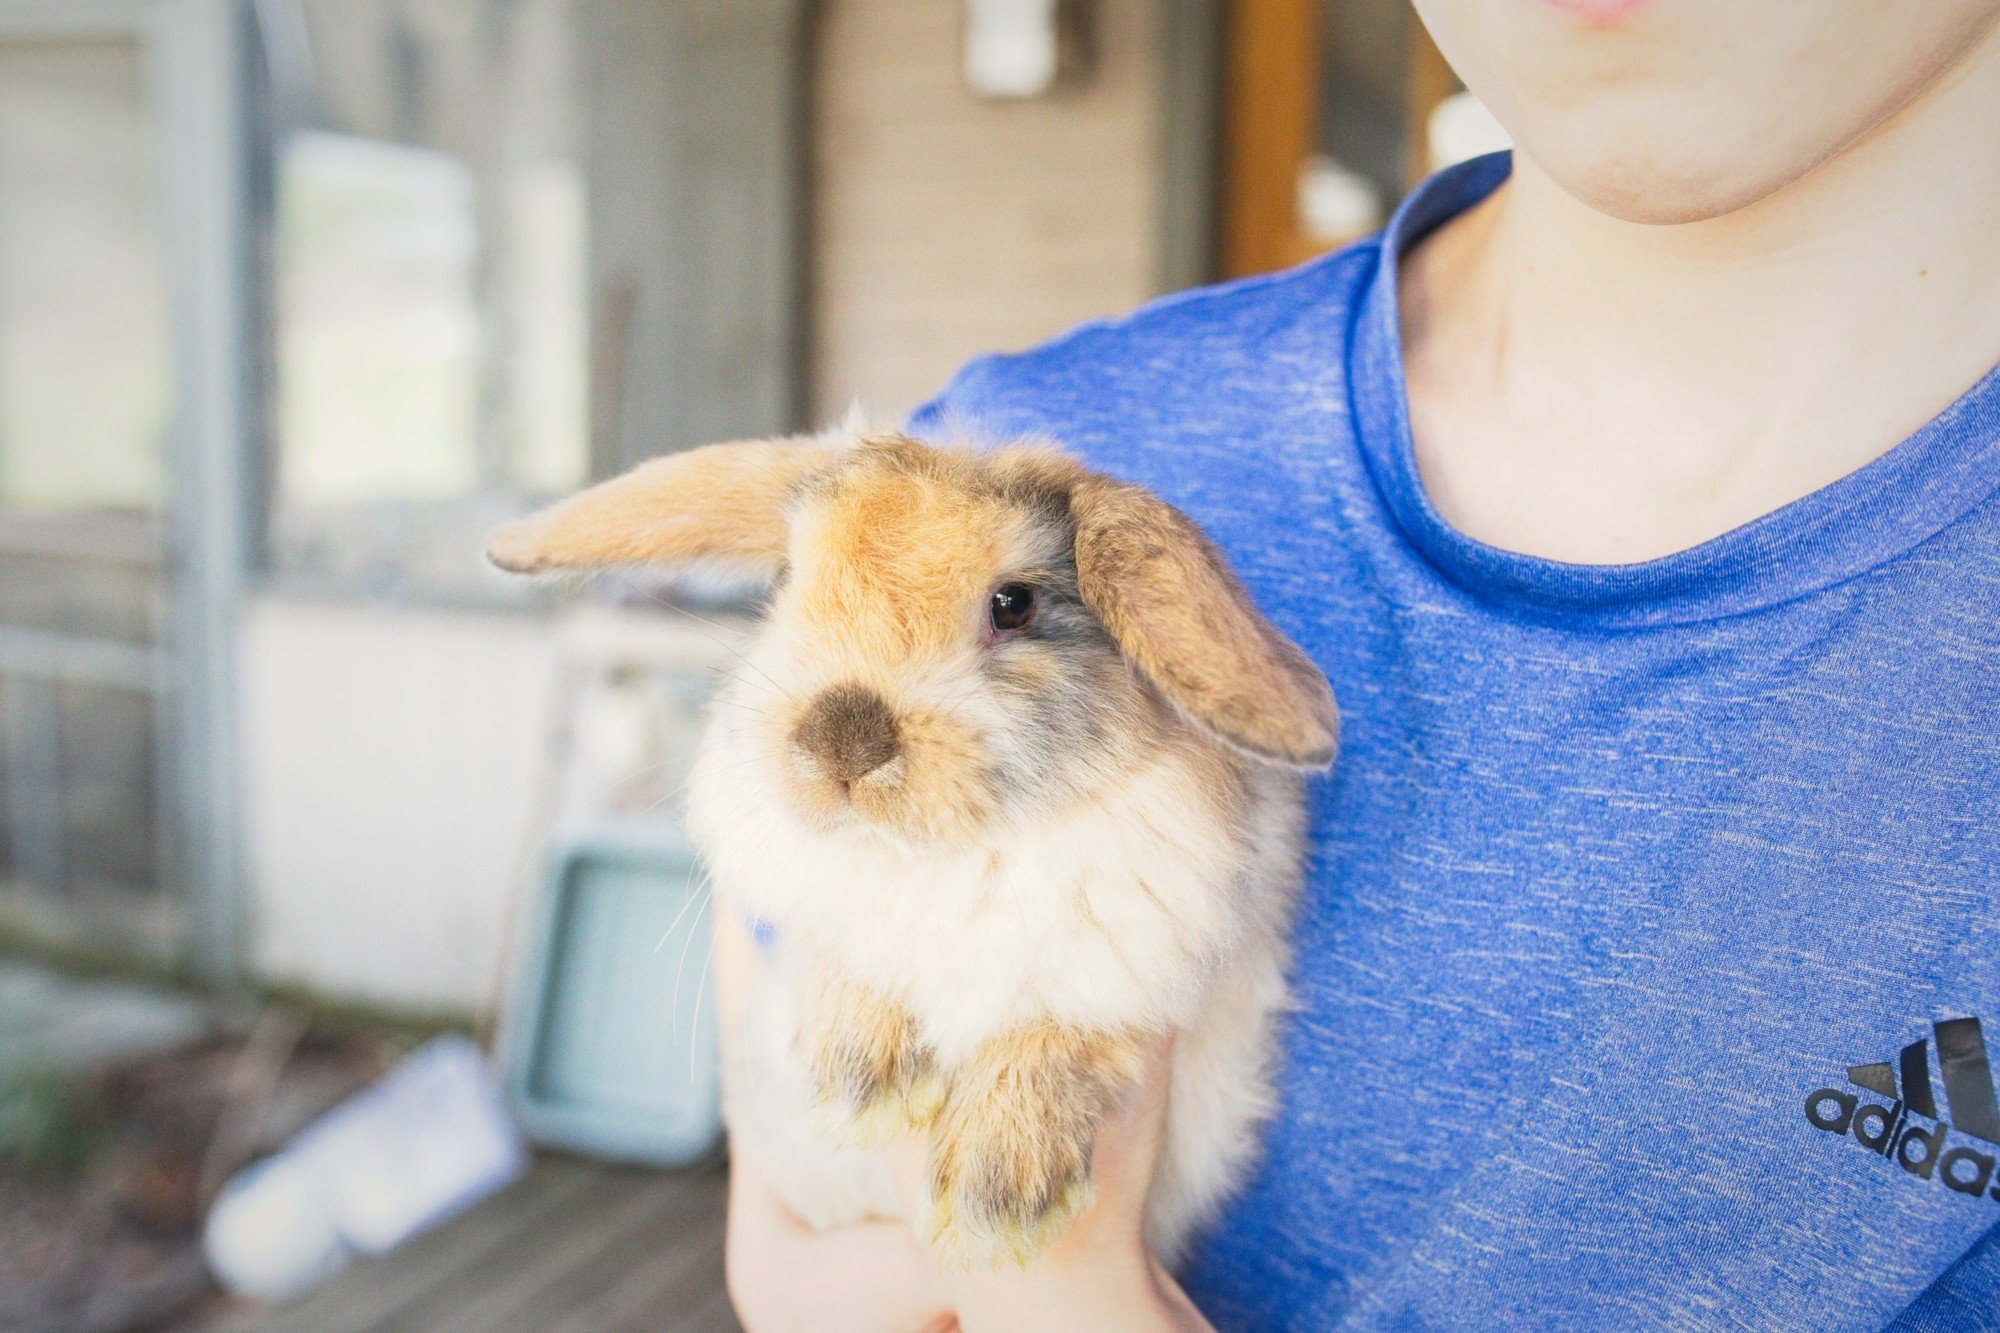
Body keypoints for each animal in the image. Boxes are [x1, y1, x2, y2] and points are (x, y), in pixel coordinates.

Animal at [487, 422, 1336, 1270]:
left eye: (1013, 603)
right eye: (790, 577)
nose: (841, 740)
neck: (947, 853)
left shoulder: (1142, 964)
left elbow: (1054, 1033)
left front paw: (996, 1194)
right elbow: (853, 960)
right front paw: (865, 1085)